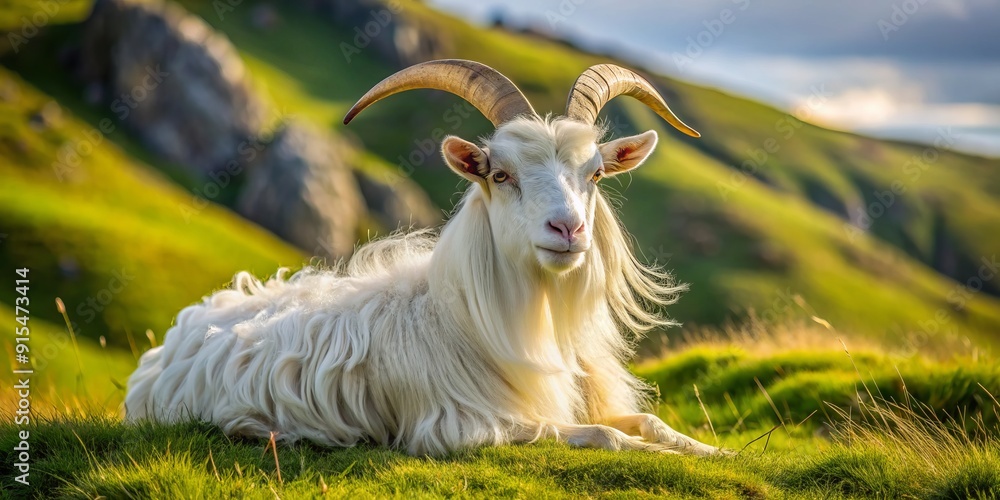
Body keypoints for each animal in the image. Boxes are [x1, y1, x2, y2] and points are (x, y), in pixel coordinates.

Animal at [125, 59, 720, 456]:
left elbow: (647, 422)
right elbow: (607, 434)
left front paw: (716, 452)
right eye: (499, 174)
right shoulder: (462, 424)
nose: (567, 228)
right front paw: (660, 454)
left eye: (595, 173)